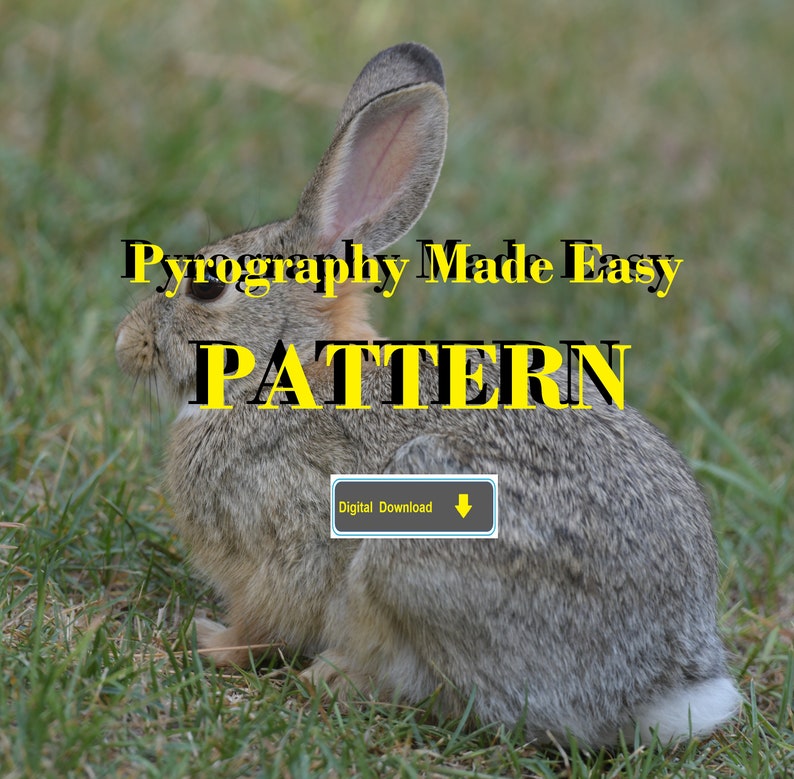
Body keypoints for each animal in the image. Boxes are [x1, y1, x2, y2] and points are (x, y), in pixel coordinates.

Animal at [115, 42, 740, 746]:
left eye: (206, 288)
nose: (125, 342)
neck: (288, 367)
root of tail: (655, 687)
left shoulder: (285, 539)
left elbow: (266, 622)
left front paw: (210, 642)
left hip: (419, 545)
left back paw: (332, 679)